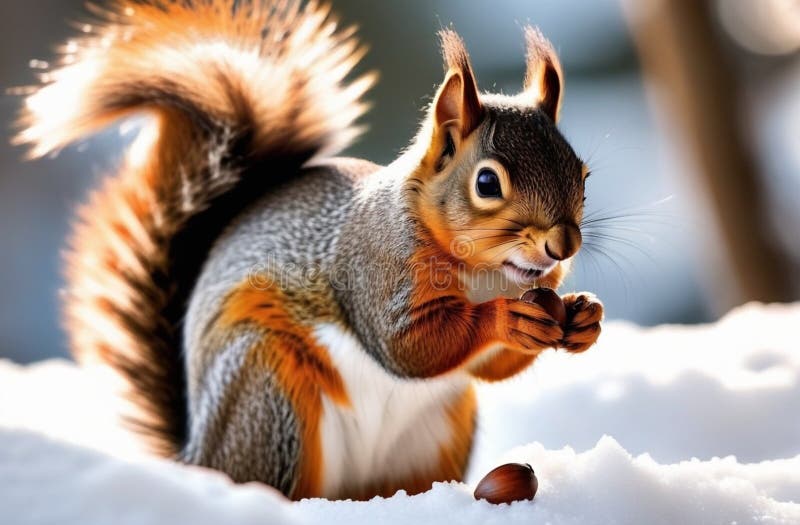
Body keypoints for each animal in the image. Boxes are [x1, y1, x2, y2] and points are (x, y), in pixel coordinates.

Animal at [15, 0, 603, 500]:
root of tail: (199, 457)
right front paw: (506, 319)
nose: (563, 244)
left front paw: (585, 317)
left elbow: (490, 367)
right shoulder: (375, 269)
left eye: (582, 173)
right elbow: (410, 348)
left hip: (436, 430)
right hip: (271, 394)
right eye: (486, 183)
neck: (487, 272)